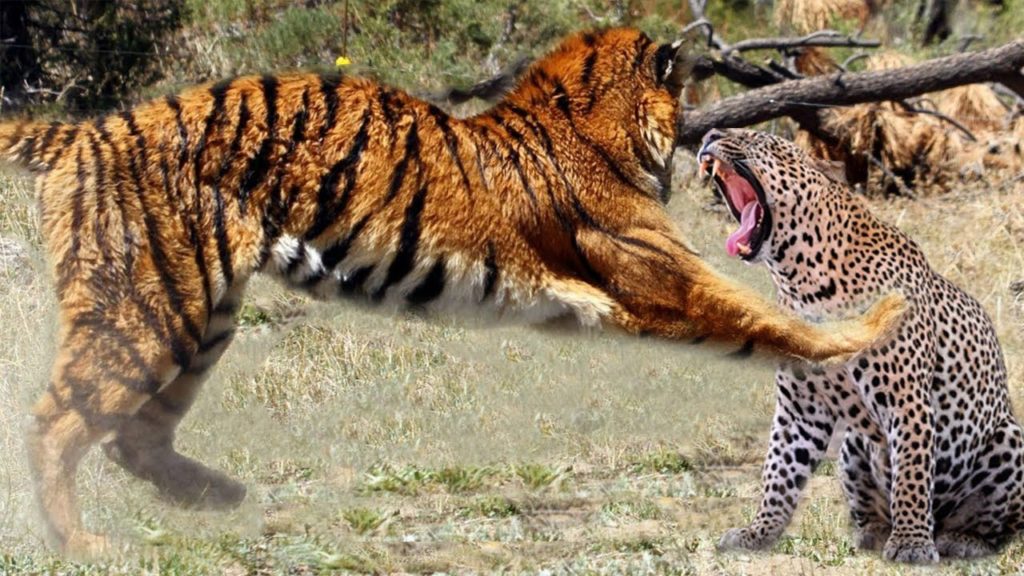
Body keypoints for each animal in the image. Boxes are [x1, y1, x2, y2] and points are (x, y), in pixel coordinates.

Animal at [0, 27, 904, 554]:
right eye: (682, 89)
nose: (708, 133)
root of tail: (84, 131)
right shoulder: (663, 276)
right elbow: (767, 317)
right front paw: (875, 320)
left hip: (200, 319)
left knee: (131, 435)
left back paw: (219, 496)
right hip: (148, 308)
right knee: (54, 424)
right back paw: (79, 546)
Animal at [698, 128, 1024, 564]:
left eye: (757, 139)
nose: (709, 134)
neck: (802, 283)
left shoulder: (906, 399)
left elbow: (912, 474)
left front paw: (911, 544)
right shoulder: (801, 408)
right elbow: (778, 472)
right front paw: (758, 533)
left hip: (1009, 439)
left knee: (995, 525)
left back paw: (959, 539)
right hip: (854, 446)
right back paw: (872, 533)